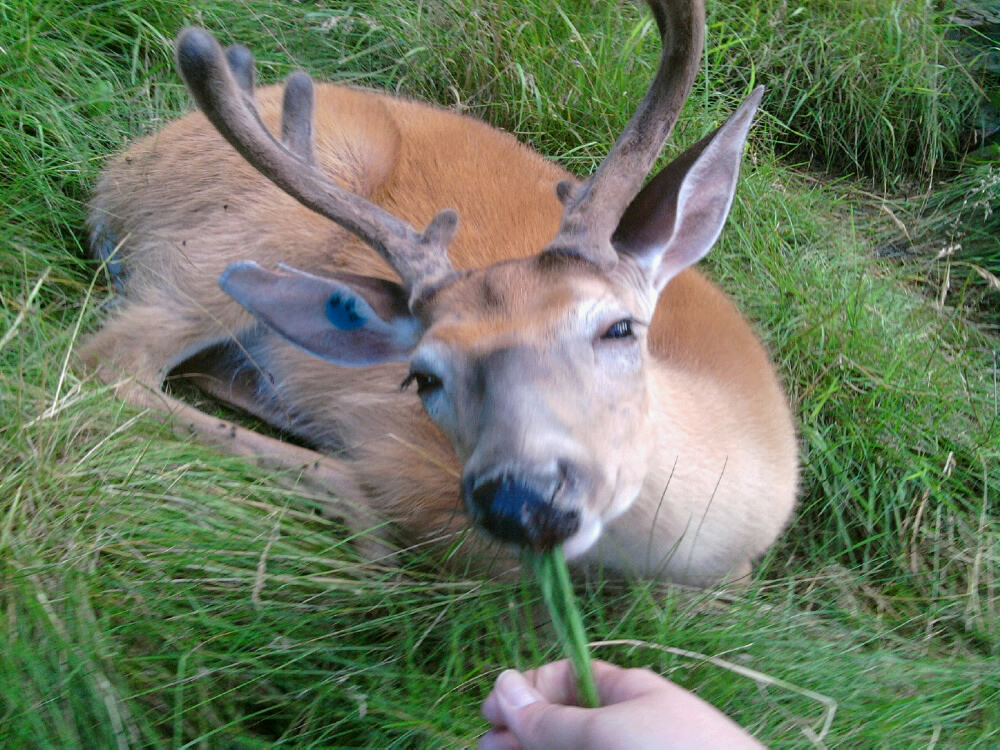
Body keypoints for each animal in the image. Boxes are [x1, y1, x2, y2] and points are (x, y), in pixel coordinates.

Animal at [79, 0, 798, 587]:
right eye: (422, 376)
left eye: (619, 327)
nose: (521, 503)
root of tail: (121, 170)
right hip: (242, 235)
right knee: (112, 363)